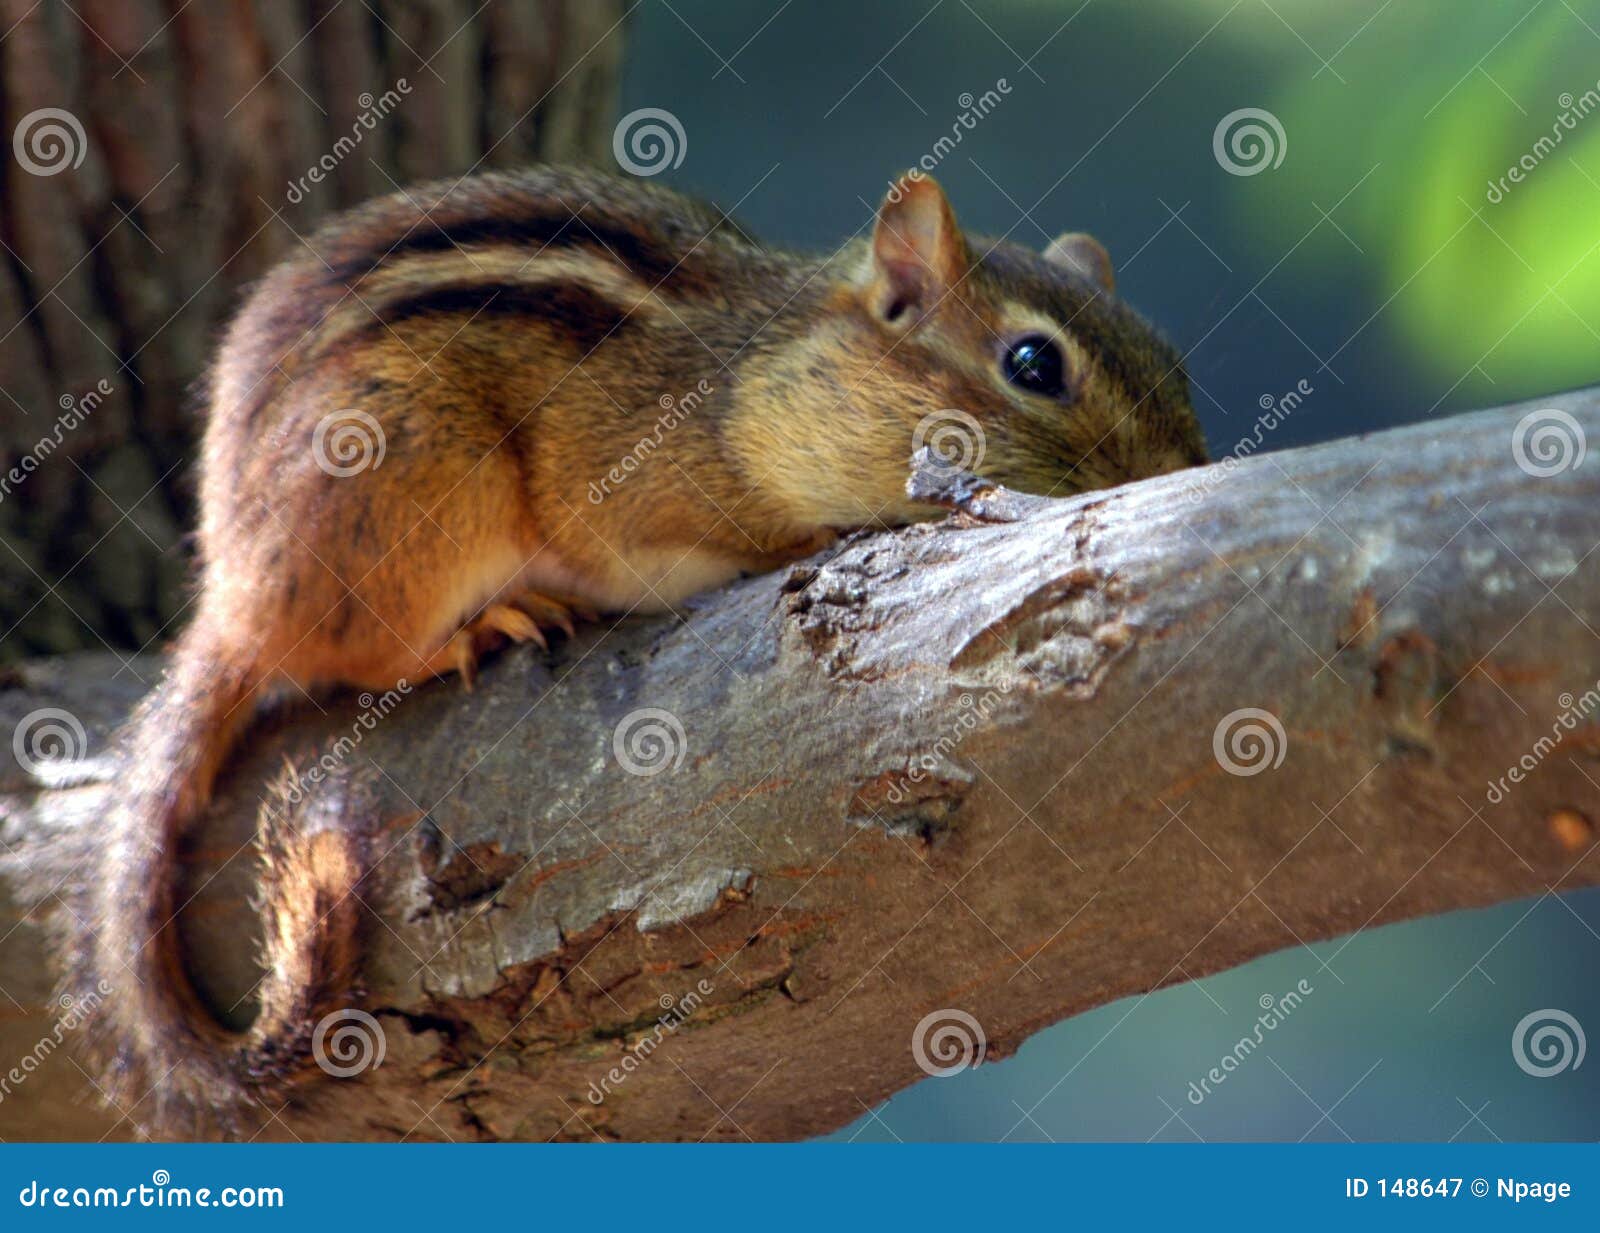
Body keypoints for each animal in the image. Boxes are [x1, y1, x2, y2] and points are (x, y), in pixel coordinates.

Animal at [76, 163, 1206, 1131]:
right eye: (1033, 365)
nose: (1181, 472)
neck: (763, 372)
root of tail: (230, 593)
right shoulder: (624, 471)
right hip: (405, 477)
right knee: (350, 650)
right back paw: (473, 629)